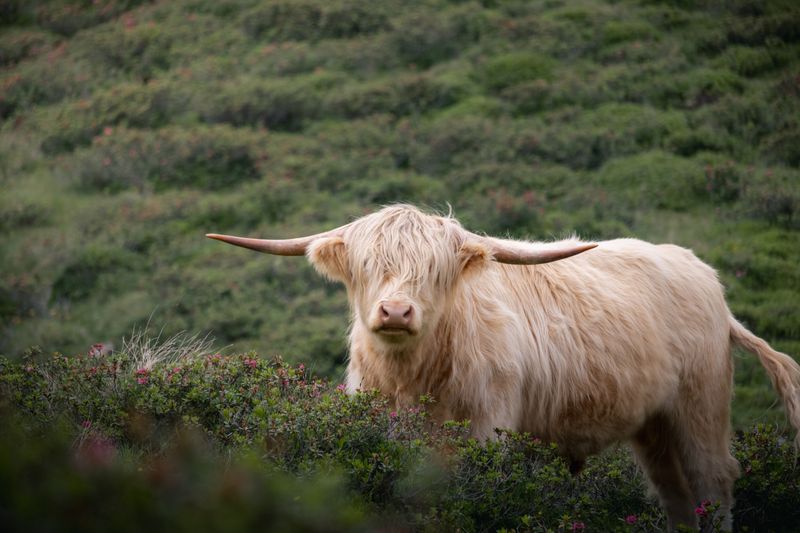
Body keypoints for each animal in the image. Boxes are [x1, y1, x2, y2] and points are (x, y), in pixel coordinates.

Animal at [208, 204, 800, 530]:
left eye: (435, 270)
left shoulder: (487, 430)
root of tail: (706, 278)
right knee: (675, 495)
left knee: (712, 482)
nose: (396, 311)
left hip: (700, 404)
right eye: (368, 266)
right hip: (654, 425)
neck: (412, 381)